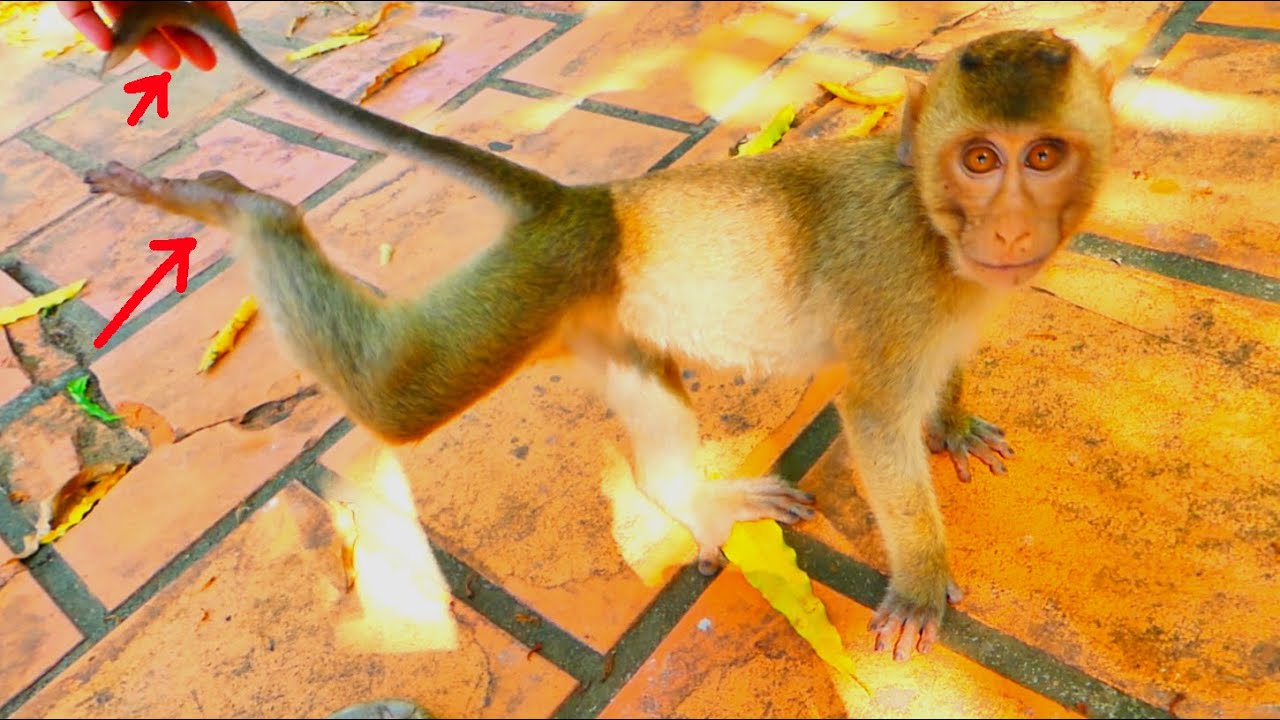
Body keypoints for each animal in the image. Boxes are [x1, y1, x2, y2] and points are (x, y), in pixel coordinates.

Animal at [83, 2, 1114, 662]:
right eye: (979, 160)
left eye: (1043, 156)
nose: (1011, 231)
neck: (937, 232)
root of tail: (577, 204)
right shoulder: (901, 290)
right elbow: (872, 419)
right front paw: (921, 583)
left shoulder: (962, 298)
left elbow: (945, 374)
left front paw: (956, 423)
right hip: (535, 281)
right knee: (399, 394)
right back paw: (238, 207)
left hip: (595, 316)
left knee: (645, 397)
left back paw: (688, 501)